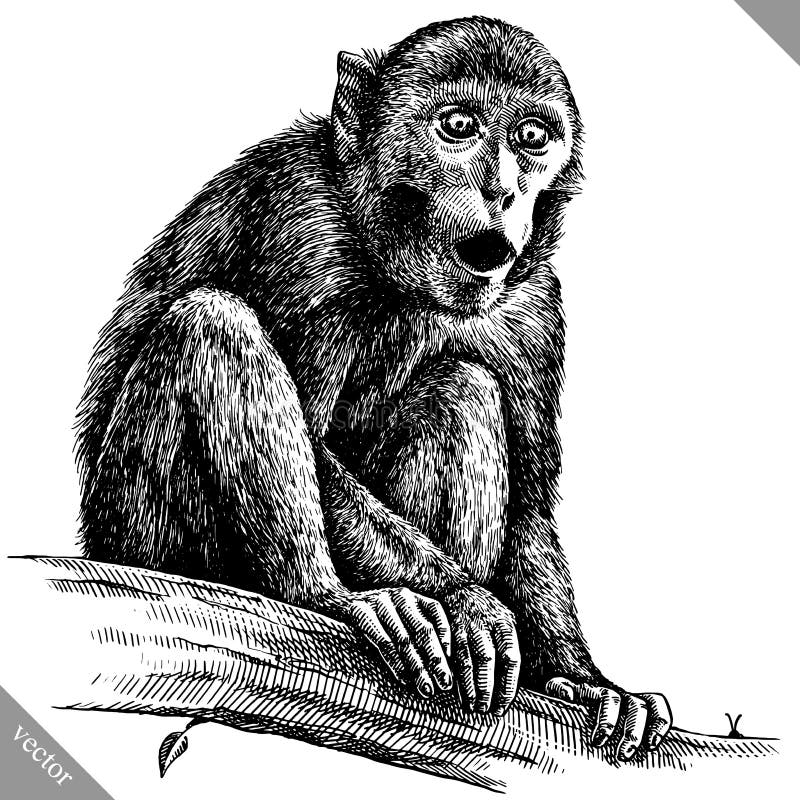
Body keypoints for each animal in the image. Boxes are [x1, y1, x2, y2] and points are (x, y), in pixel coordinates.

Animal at [76, 17, 672, 759]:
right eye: (457, 126)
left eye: (532, 139)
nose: (503, 191)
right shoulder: (301, 231)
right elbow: (308, 432)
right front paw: (463, 598)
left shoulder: (535, 304)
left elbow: (532, 509)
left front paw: (580, 680)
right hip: (138, 535)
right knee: (212, 323)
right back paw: (323, 593)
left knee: (463, 387)